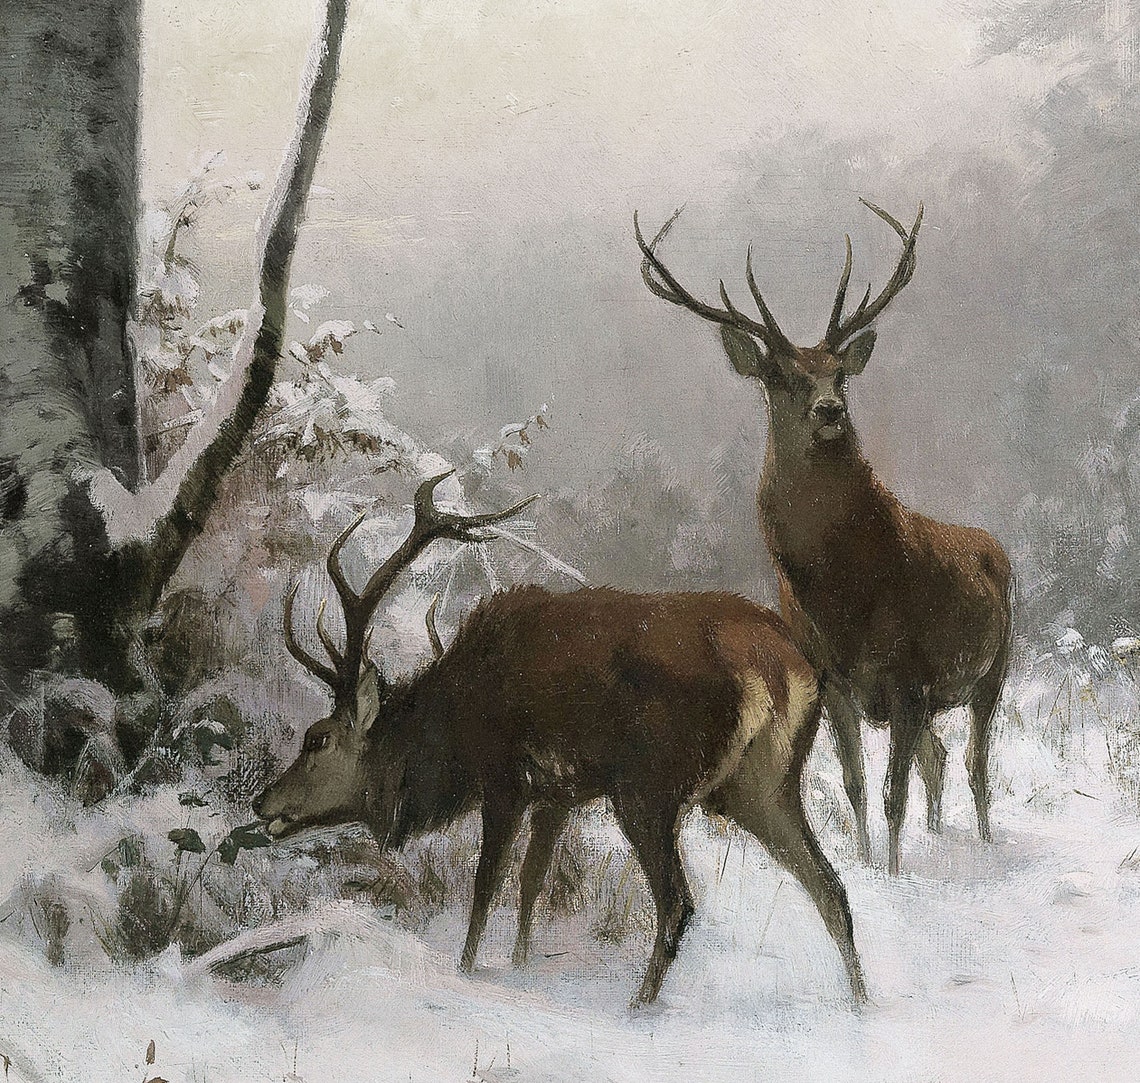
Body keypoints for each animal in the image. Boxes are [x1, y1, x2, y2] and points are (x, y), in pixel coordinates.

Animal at [253, 472, 867, 1007]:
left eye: (318, 739)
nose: (262, 802)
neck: (453, 729)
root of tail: (779, 660)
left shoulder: (504, 778)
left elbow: (487, 885)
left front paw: (467, 970)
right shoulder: (558, 794)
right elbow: (531, 882)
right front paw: (521, 963)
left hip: (649, 786)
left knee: (677, 903)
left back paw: (639, 1006)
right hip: (763, 785)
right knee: (831, 888)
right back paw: (860, 1003)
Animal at [635, 200, 1013, 876]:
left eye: (839, 373)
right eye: (782, 376)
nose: (830, 410)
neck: (846, 591)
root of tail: (993, 547)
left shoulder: (908, 676)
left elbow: (891, 795)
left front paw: (894, 874)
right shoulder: (834, 678)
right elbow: (857, 785)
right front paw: (867, 864)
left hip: (994, 668)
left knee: (975, 764)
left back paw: (985, 842)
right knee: (941, 759)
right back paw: (943, 837)